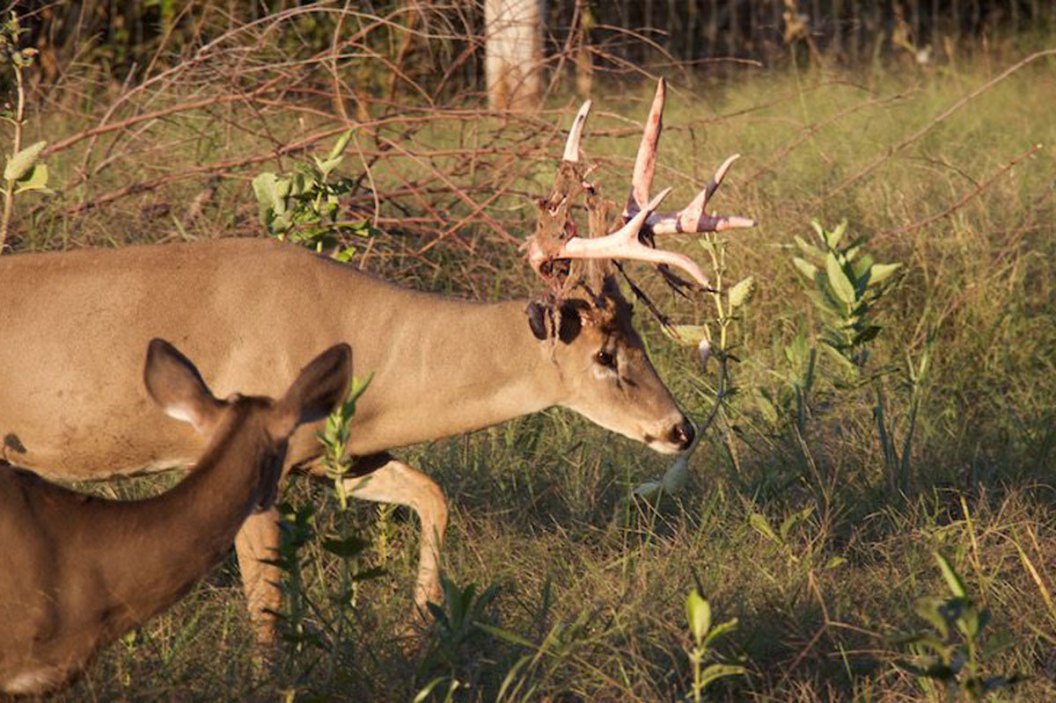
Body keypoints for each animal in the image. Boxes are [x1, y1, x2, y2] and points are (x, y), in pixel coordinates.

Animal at [0, 78, 753, 650]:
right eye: (604, 353)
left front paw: (420, 625)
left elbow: (432, 496)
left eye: (641, 338)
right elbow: (268, 607)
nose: (681, 429)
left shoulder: (338, 455)